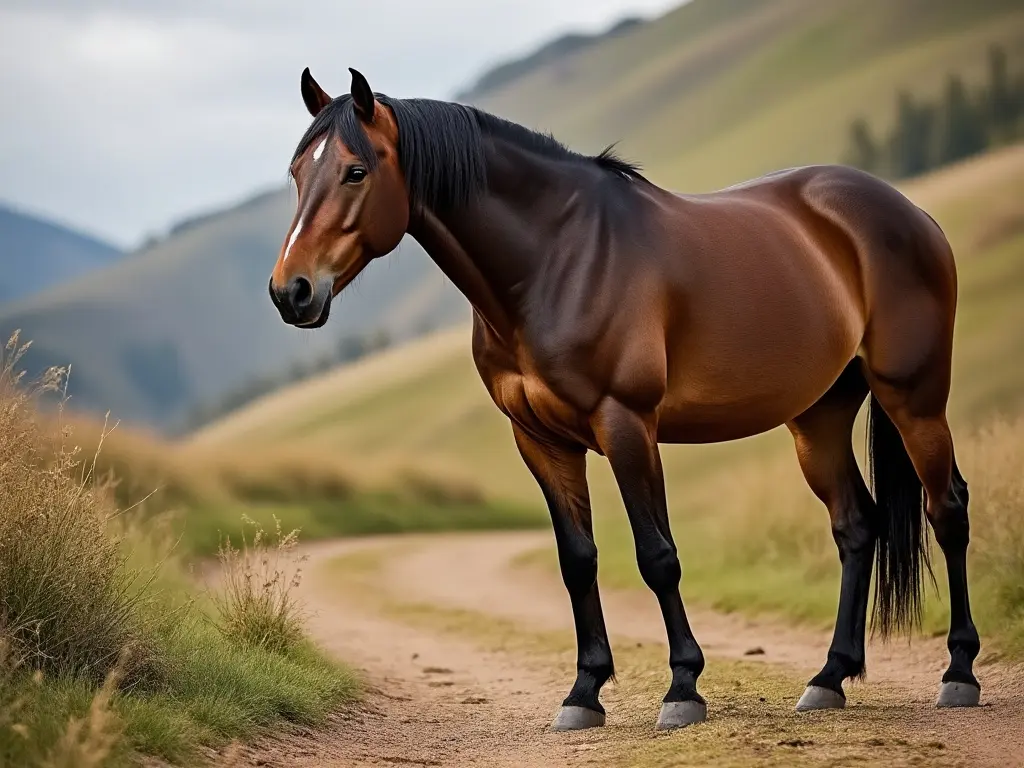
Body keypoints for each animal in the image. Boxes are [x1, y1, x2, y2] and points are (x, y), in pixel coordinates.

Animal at [268, 67, 981, 731]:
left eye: (355, 170)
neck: (557, 258)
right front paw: (584, 692)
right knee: (856, 526)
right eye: (298, 172)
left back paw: (959, 673)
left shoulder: (626, 424)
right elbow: (577, 560)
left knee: (947, 510)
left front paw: (683, 688)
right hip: (819, 416)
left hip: (914, 398)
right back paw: (829, 678)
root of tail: (907, 213)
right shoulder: (540, 440)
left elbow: (657, 555)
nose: (290, 292)